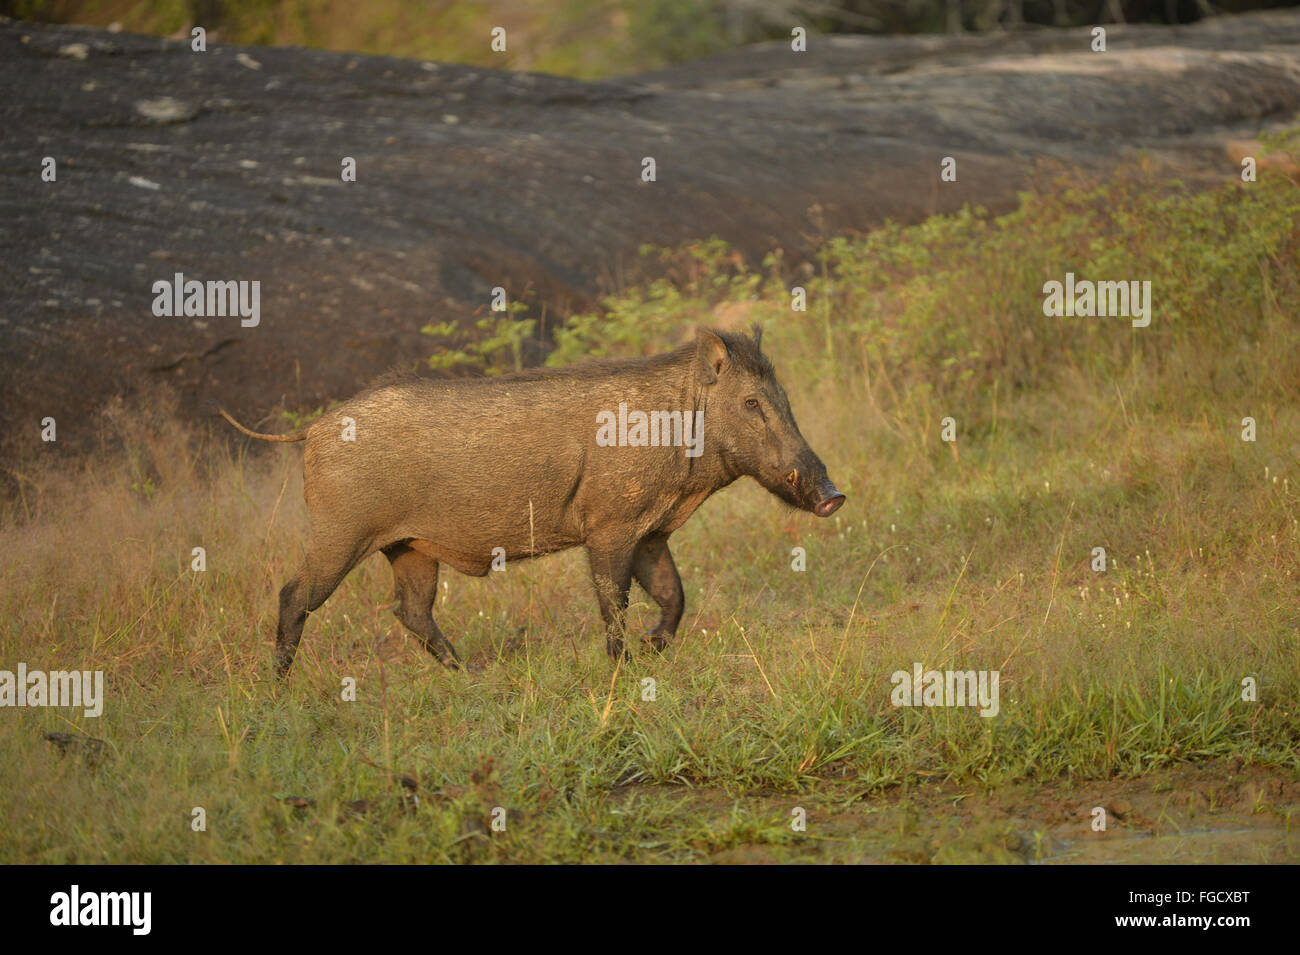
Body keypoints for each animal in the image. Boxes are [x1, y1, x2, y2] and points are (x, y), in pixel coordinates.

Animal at [221, 326, 845, 678]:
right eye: (751, 403)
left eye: (783, 397)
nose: (834, 497)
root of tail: (313, 430)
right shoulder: (609, 527)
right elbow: (613, 602)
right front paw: (625, 667)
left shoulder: (651, 533)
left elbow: (675, 597)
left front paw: (654, 650)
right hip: (339, 535)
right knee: (295, 595)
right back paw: (278, 687)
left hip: (409, 548)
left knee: (412, 611)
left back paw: (467, 675)